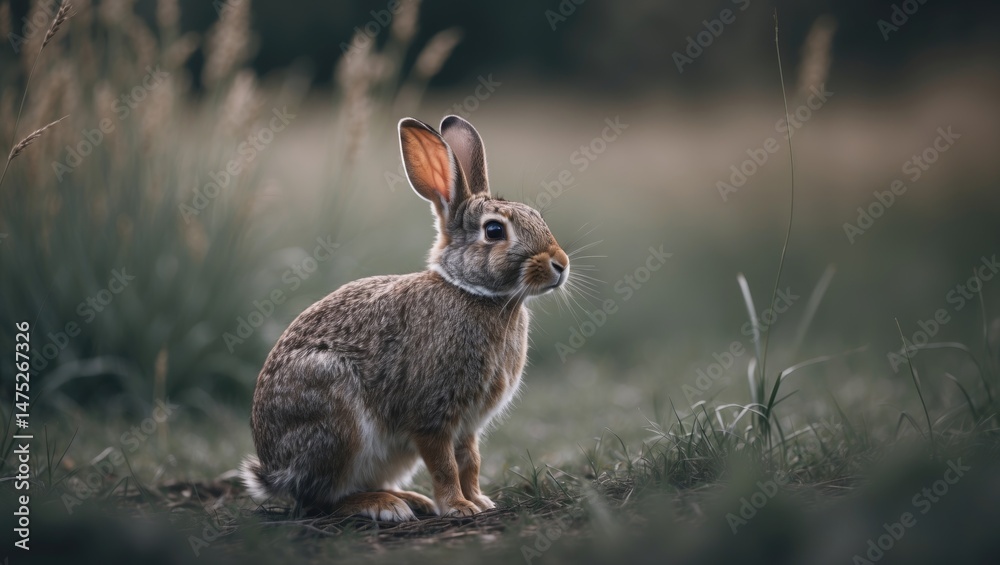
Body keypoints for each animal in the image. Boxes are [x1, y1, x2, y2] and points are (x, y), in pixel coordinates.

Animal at [240, 115, 570, 521]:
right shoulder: (431, 416)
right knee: (319, 499)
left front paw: (479, 501)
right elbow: (445, 465)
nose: (560, 264)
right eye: (494, 231)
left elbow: (470, 461)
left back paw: (410, 500)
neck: (474, 293)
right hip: (336, 420)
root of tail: (274, 471)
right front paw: (459, 507)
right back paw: (385, 505)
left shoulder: (467, 426)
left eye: (537, 216)